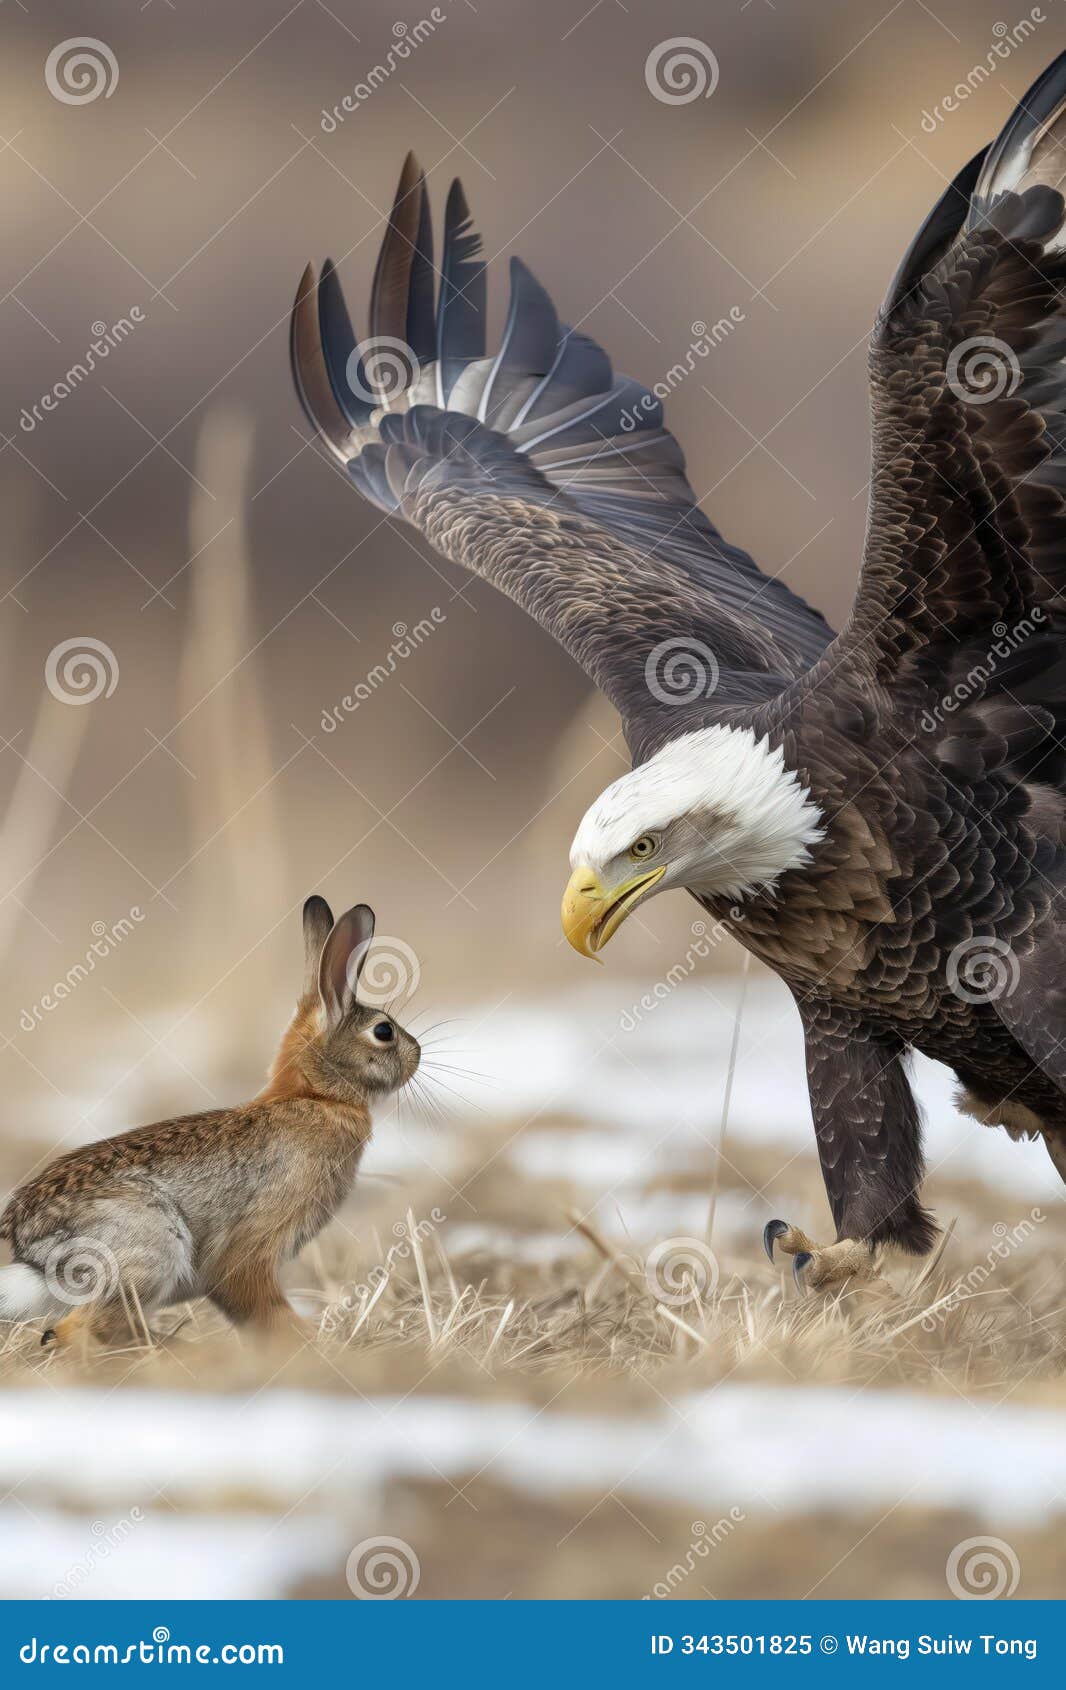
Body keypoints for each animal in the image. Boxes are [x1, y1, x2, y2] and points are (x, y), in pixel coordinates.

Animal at [0, 896, 420, 1349]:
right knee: (82, 1329)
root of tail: (29, 1248)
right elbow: (255, 1298)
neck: (314, 1096)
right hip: (152, 1245)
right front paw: (309, 1344)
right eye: (383, 1031)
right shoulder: (254, 1242)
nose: (418, 1054)